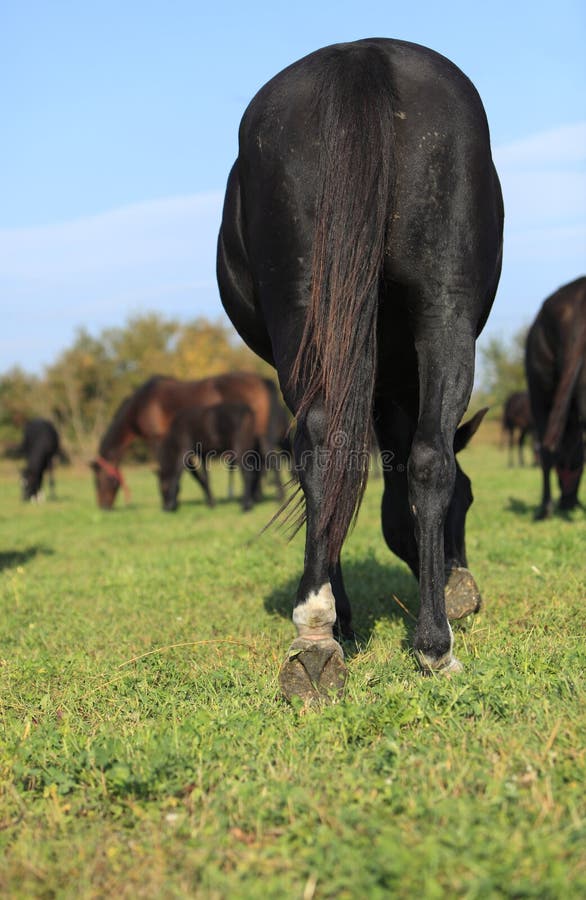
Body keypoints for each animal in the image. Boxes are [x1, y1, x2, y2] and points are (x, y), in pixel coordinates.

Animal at [91, 373, 287, 509]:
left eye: (99, 480)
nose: (103, 506)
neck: (143, 403)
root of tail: (261, 380)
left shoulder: (158, 440)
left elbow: (183, 471)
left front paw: (176, 499)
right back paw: (257, 496)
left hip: (259, 434)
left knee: (269, 459)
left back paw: (276, 497)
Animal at [217, 38, 503, 702]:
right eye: (470, 502)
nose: (466, 592)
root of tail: (361, 56)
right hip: (440, 313)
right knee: (421, 457)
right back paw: (430, 642)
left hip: (322, 312)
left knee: (336, 450)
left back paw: (318, 638)